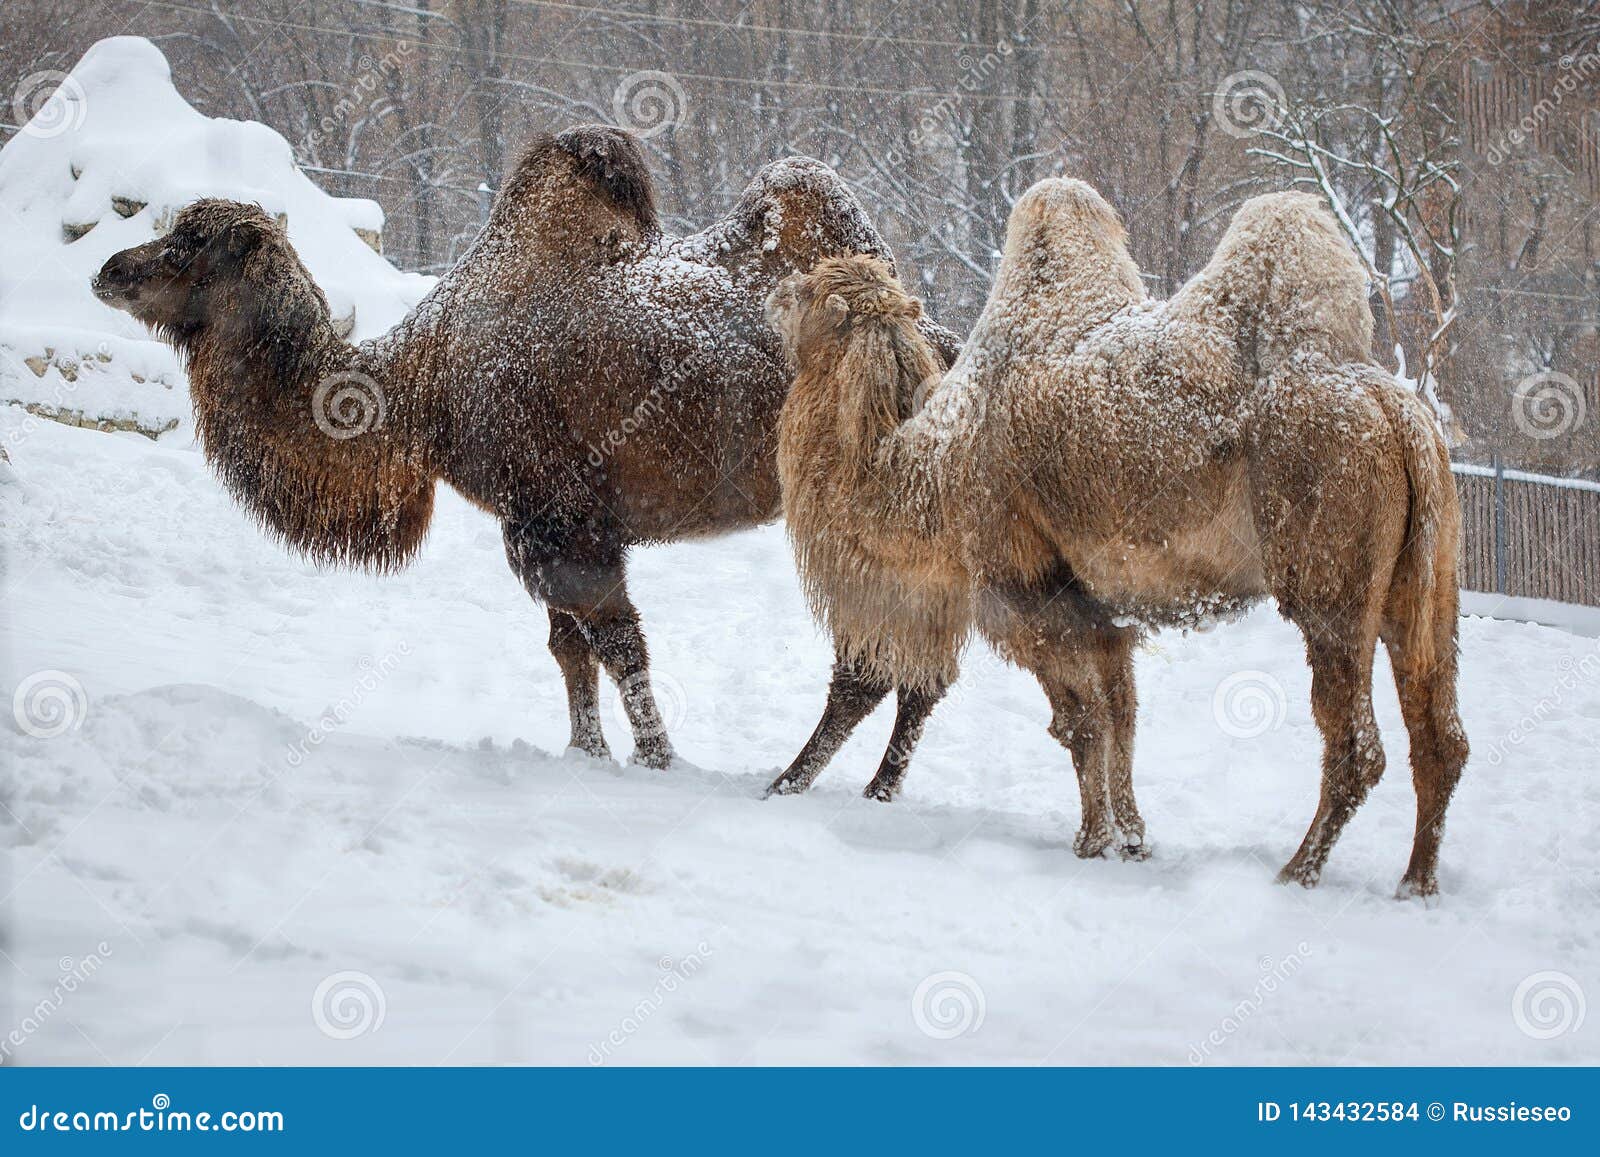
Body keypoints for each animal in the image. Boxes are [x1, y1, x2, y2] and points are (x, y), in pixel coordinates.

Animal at [92, 124, 959, 769]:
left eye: (185, 243)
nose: (108, 269)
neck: (418, 387)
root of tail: (945, 355)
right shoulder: (533, 523)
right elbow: (569, 648)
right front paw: (586, 753)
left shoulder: (566, 519)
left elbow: (618, 646)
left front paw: (657, 760)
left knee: (889, 654)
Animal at [765, 182, 1467, 899]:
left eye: (816, 294)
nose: (776, 288)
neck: (927, 472)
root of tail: (1399, 413)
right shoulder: (1103, 611)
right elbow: (1121, 718)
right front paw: (1130, 840)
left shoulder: (1024, 591)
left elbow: (1080, 723)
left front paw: (1091, 841)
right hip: (1428, 577)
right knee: (1440, 731)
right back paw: (1417, 883)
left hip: (1329, 581)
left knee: (1357, 741)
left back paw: (1297, 870)